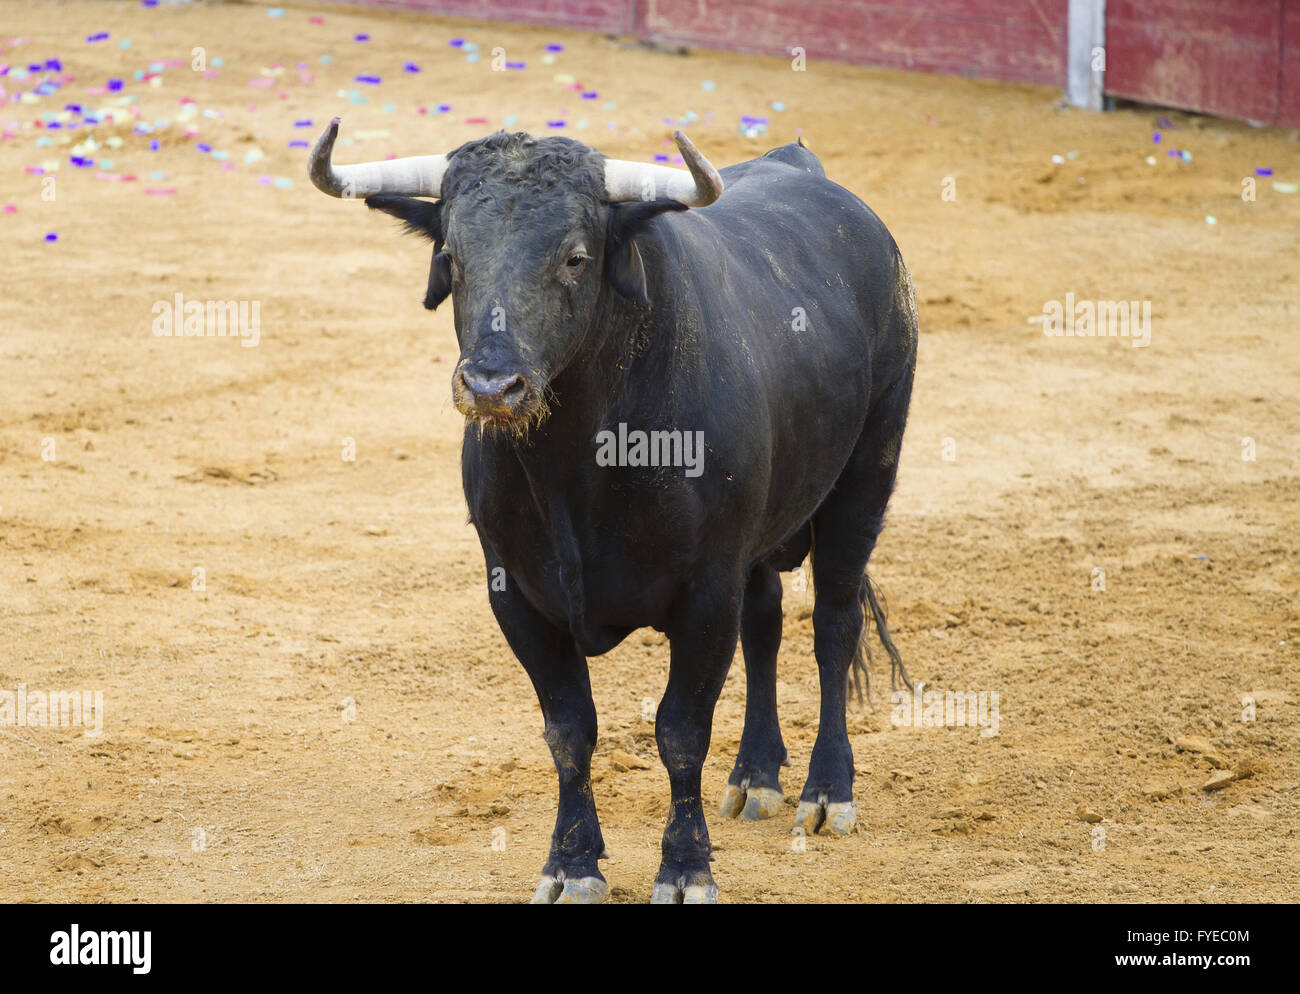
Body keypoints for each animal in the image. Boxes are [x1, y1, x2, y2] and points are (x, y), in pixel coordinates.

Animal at [309, 117, 917, 903]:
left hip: (867, 474)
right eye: (452, 256)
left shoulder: (705, 590)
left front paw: (686, 869)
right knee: (767, 622)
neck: (576, 464)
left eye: (575, 257)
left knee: (834, 624)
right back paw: (755, 776)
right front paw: (570, 865)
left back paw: (825, 792)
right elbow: (570, 729)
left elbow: (680, 730)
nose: (492, 385)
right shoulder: (515, 591)